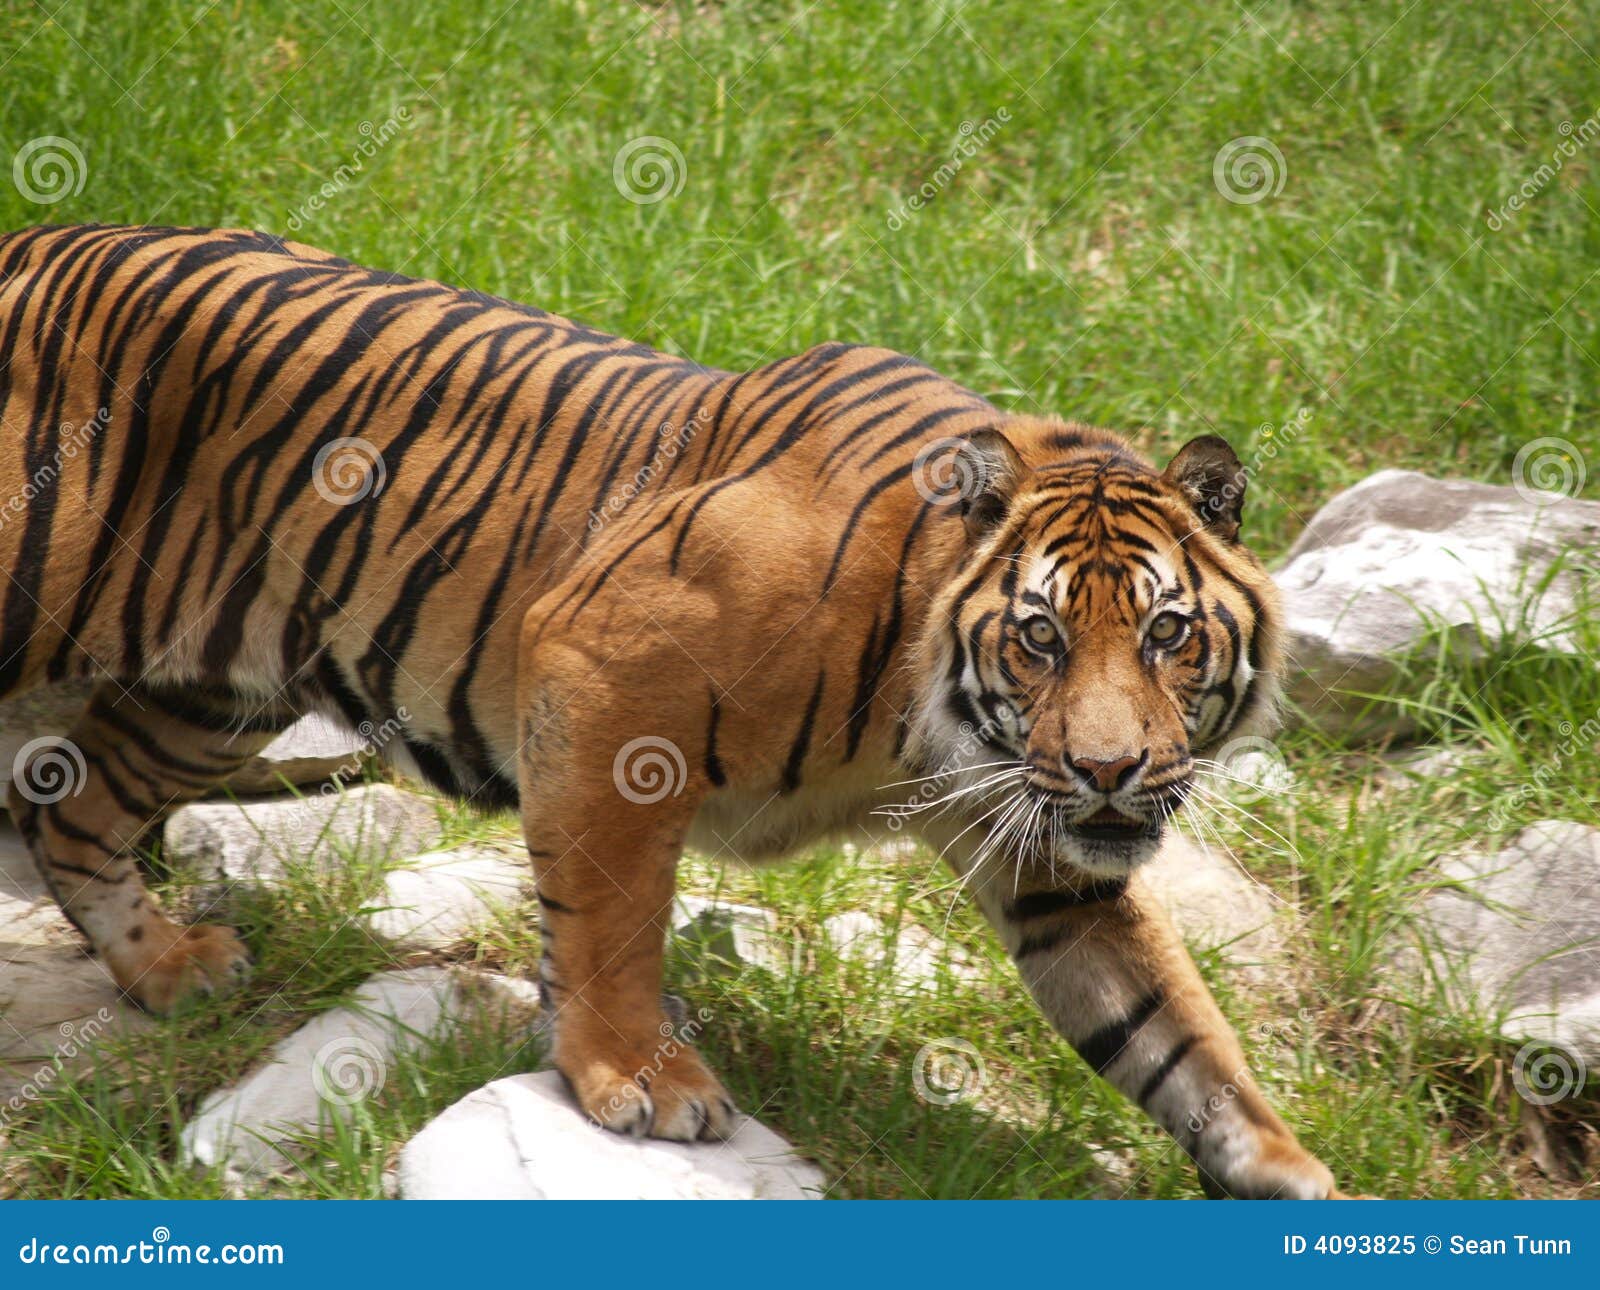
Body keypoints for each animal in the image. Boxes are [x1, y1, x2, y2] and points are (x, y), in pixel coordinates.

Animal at [0, 223, 1350, 1198]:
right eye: (1040, 638)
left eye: (1167, 635)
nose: (1114, 770)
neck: (937, 726)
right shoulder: (604, 674)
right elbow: (612, 914)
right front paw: (636, 1081)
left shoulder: (1047, 851)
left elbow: (1171, 1027)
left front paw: (1284, 1168)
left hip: (214, 687)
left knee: (75, 808)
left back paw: (167, 969)